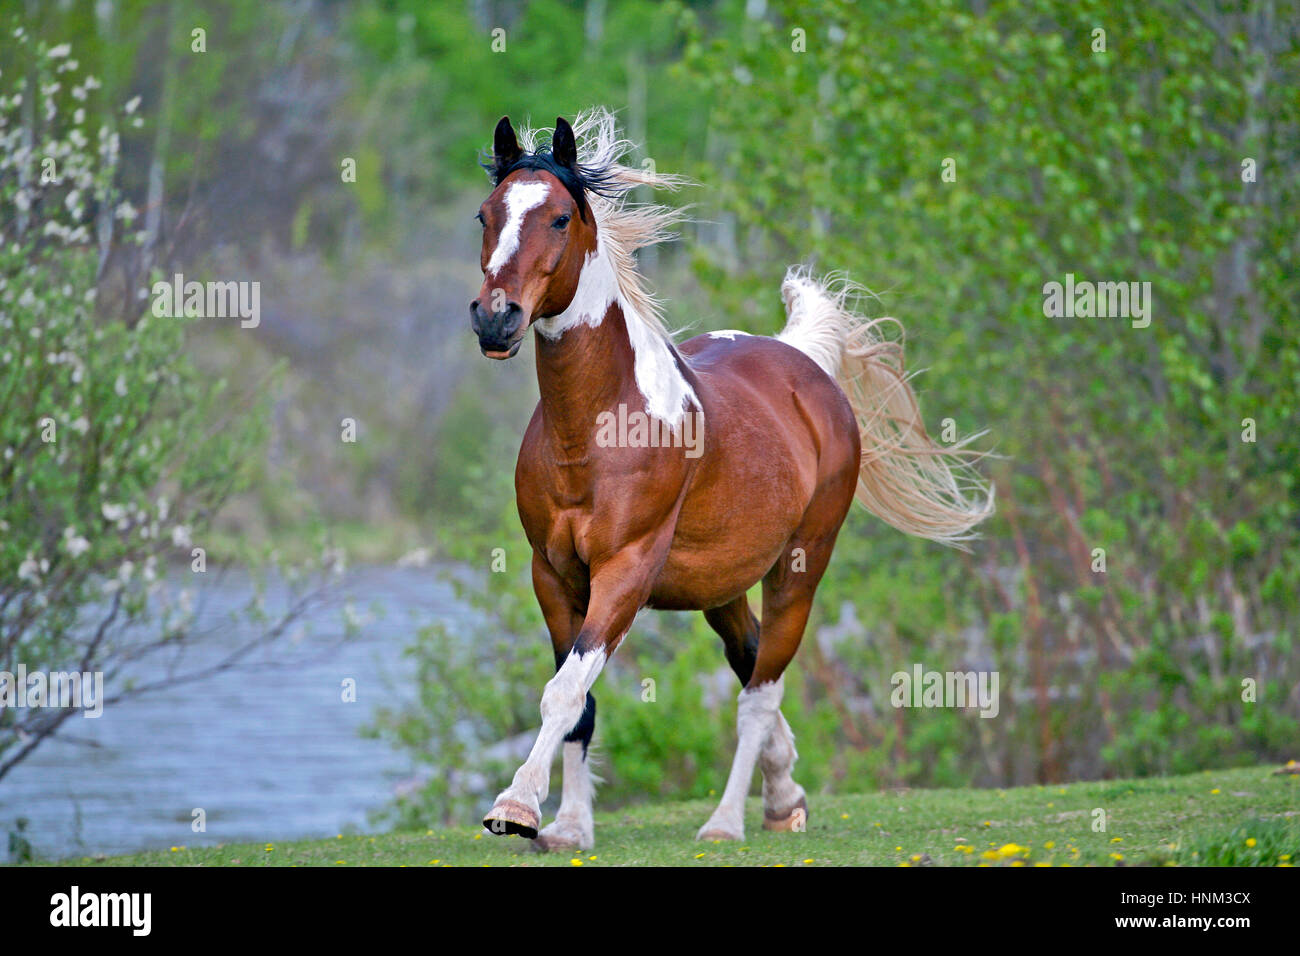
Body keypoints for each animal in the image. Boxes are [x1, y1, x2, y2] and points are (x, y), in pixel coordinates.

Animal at [470, 109, 993, 850]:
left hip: (799, 570)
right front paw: (566, 827)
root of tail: (803, 363)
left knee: (760, 694)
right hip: (721, 587)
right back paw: (784, 795)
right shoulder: (553, 575)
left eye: (560, 218)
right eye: (487, 214)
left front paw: (514, 806)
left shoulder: (625, 573)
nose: (496, 319)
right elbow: (580, 701)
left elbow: (565, 691)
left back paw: (726, 821)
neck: (598, 432)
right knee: (750, 664)